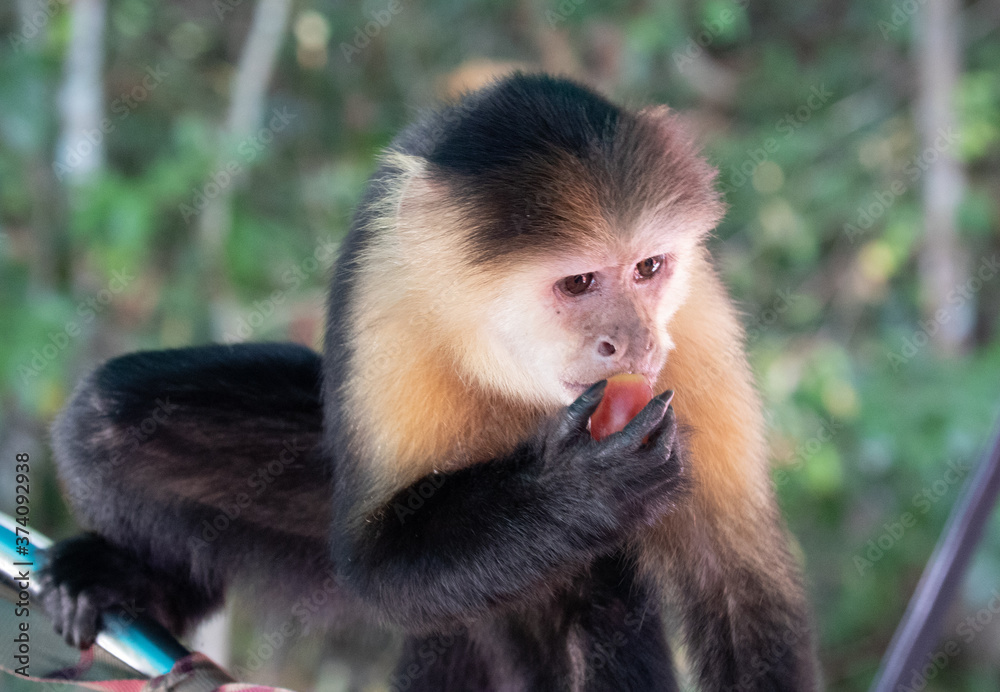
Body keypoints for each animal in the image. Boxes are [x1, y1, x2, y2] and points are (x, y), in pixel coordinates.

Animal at [41, 73, 819, 691]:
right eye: (577, 283)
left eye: (649, 268)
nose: (631, 341)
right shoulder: (390, 299)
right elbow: (374, 566)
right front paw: (576, 494)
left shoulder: (695, 326)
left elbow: (739, 586)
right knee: (110, 419)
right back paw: (140, 589)